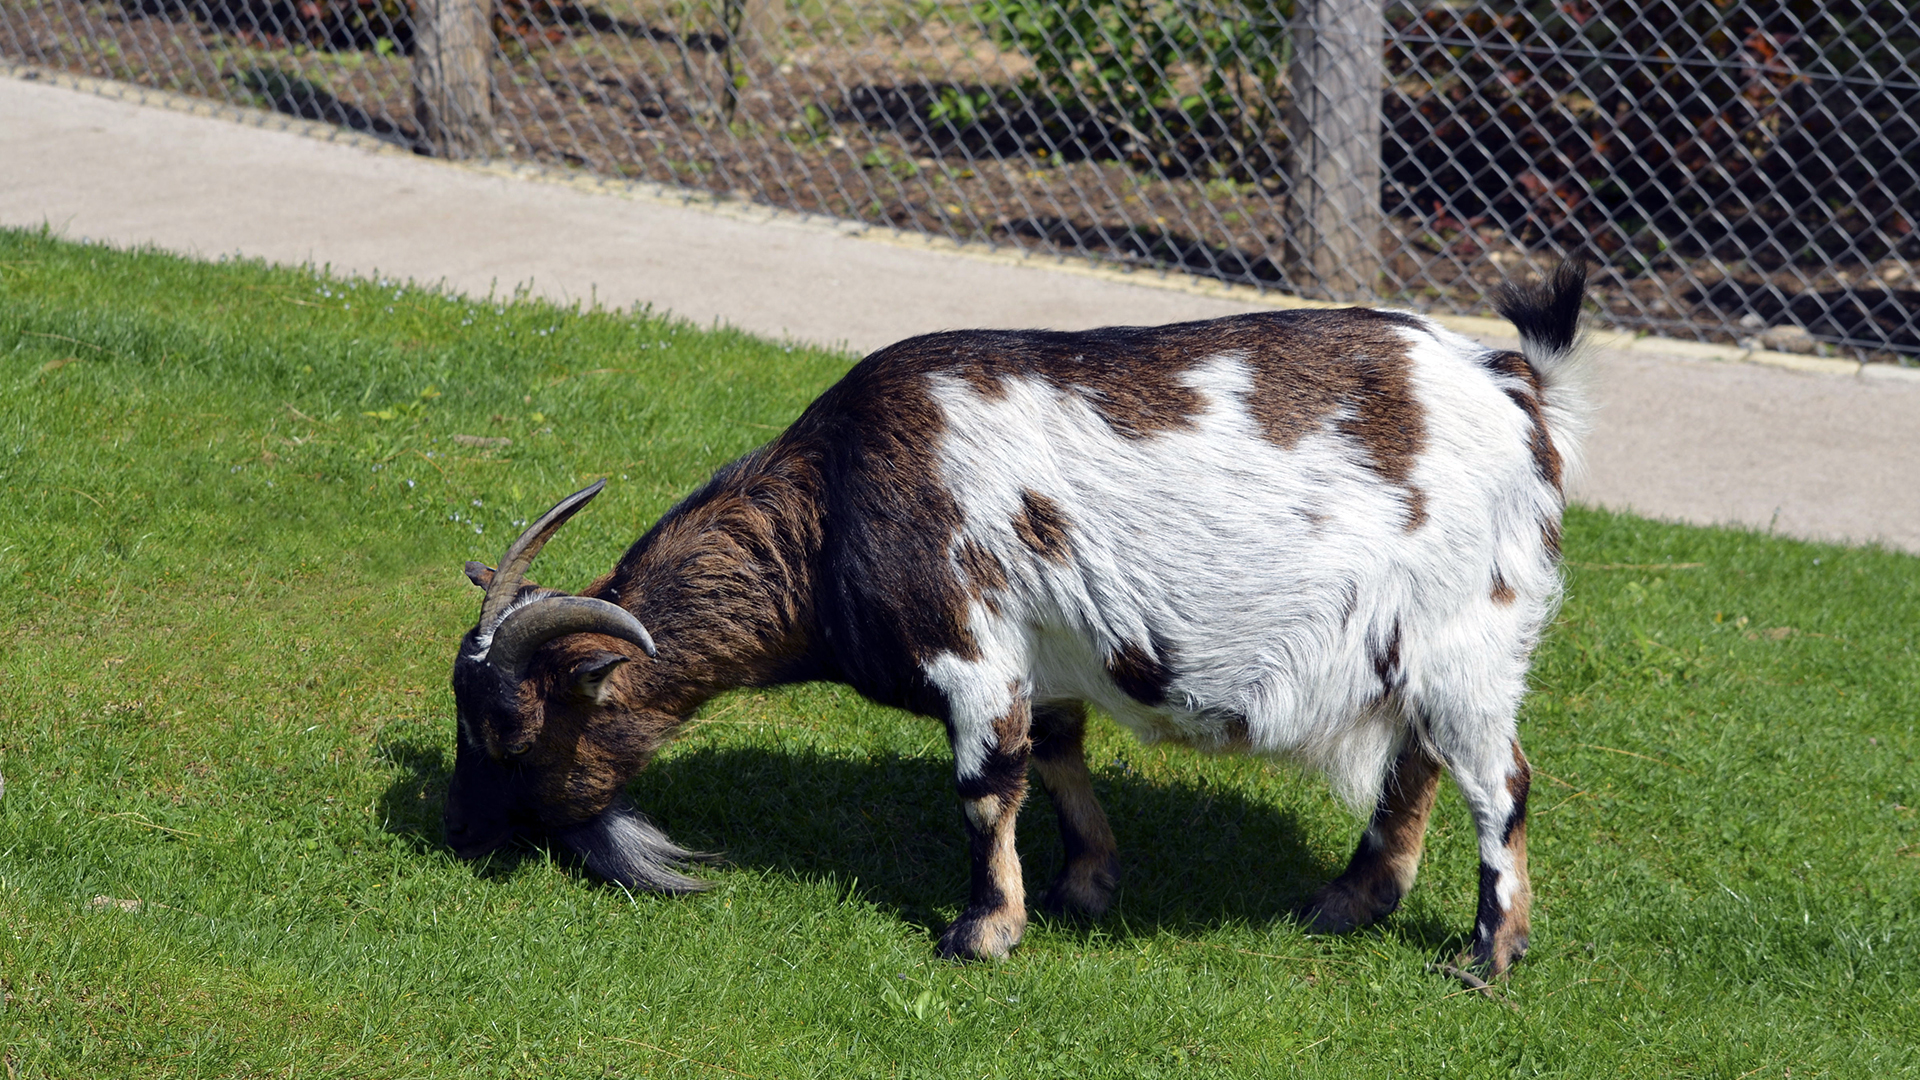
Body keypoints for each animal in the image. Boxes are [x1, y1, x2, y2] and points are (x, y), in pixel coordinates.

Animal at [444, 262, 1590, 977]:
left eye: (510, 731)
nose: (456, 836)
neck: (835, 505)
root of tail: (1516, 387)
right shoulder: (1051, 659)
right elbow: (1060, 751)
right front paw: (1088, 882)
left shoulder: (971, 649)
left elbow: (985, 786)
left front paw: (982, 932)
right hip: (1419, 652)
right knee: (1418, 764)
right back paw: (1345, 903)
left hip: (1471, 634)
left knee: (1499, 784)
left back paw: (1485, 956)